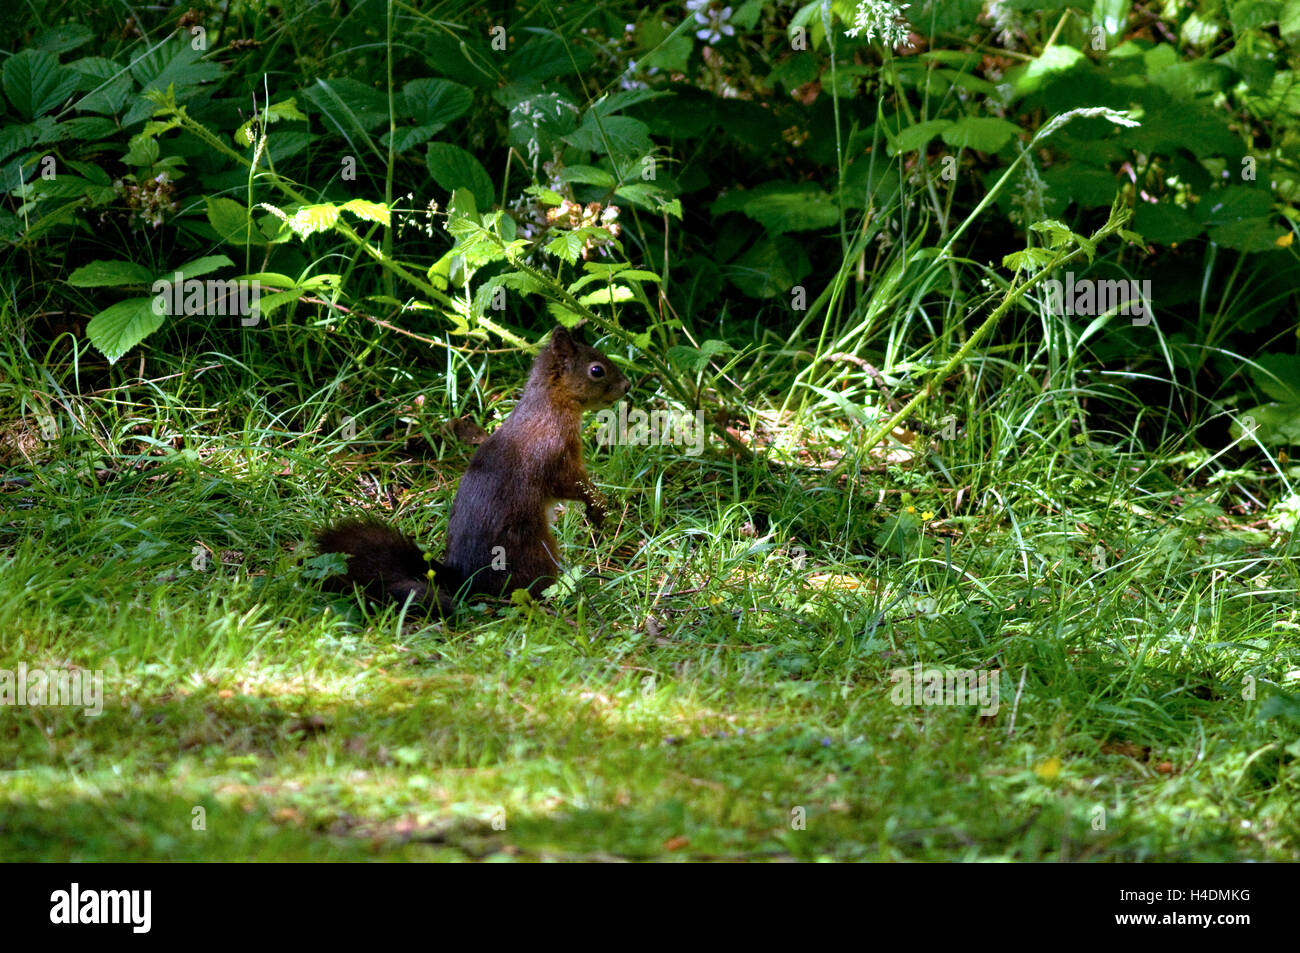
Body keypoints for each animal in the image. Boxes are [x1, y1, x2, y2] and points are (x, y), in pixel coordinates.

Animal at [316, 324, 631, 613]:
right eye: (597, 370)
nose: (627, 386)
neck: (551, 406)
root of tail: (465, 580)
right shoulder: (555, 455)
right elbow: (571, 484)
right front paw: (598, 504)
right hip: (534, 550)